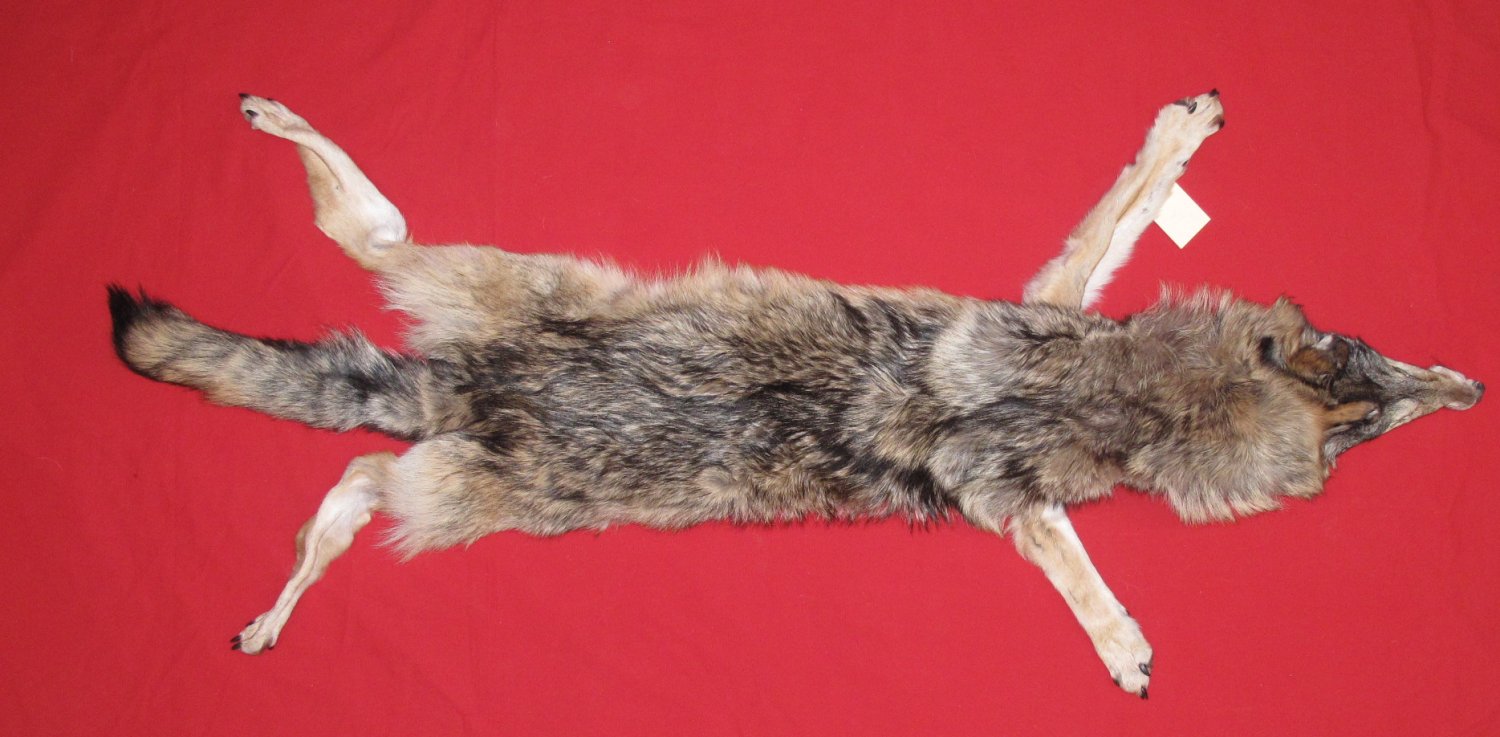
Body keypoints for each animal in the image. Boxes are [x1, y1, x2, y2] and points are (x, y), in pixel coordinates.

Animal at [107, 91, 1481, 697]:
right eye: (1366, 393)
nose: (1468, 385)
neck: (1128, 401)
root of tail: (441, 387)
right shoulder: (1034, 390)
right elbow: (1125, 204)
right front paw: (1122, 641)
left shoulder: (1030, 412)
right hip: (470, 373)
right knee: (361, 255)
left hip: (456, 443)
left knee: (349, 428)